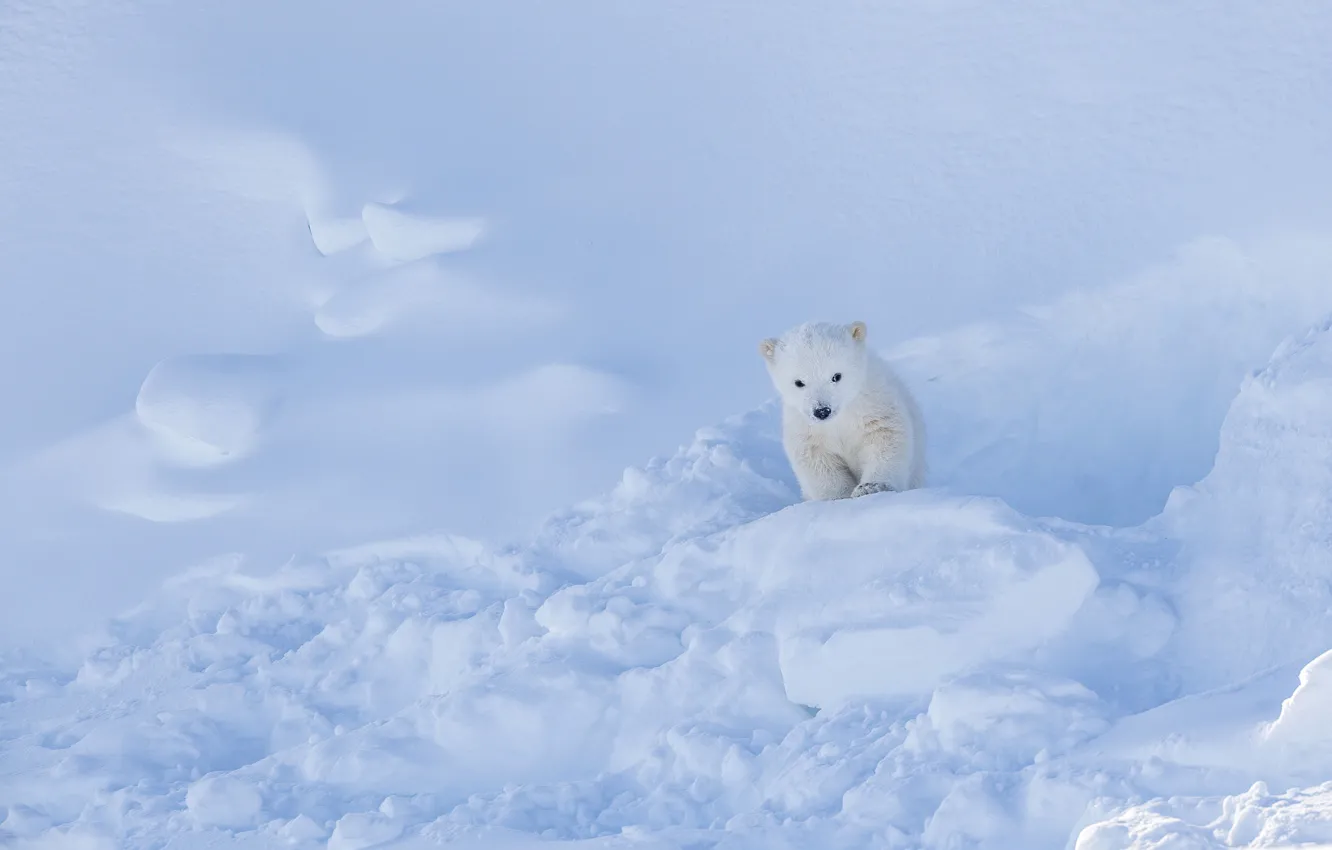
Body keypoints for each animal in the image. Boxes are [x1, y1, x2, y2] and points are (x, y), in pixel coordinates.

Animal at [759, 320, 926, 500]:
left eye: (836, 376)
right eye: (799, 382)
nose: (822, 411)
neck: (839, 419)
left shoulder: (873, 406)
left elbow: (885, 438)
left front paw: (870, 487)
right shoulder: (806, 428)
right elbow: (816, 461)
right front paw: (838, 497)